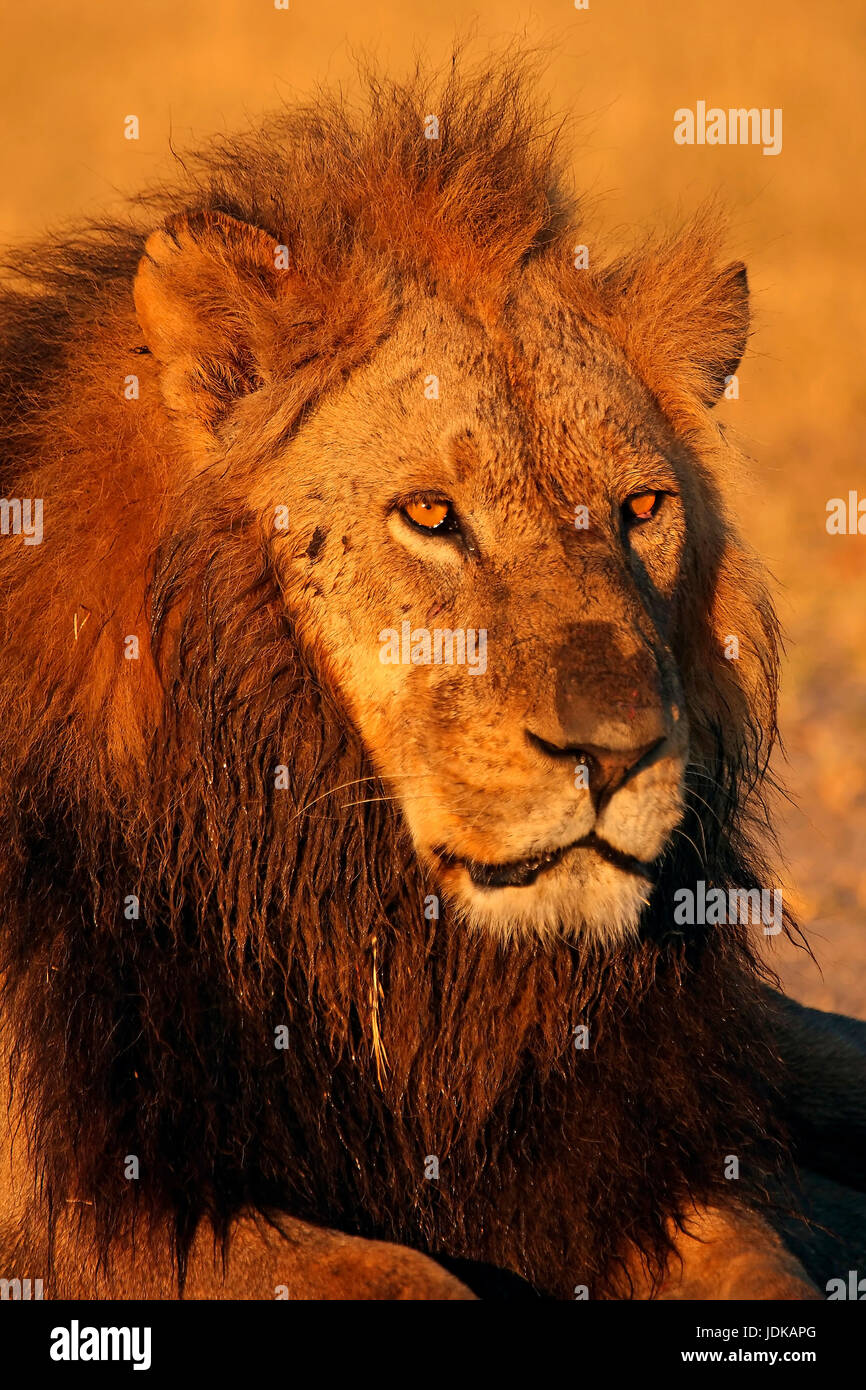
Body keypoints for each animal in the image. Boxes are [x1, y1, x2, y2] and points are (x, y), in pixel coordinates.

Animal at [0, 56, 864, 1302]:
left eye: (640, 507)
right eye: (428, 514)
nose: (614, 754)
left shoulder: (626, 1155)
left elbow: (762, 1263)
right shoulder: (88, 1194)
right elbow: (415, 1280)